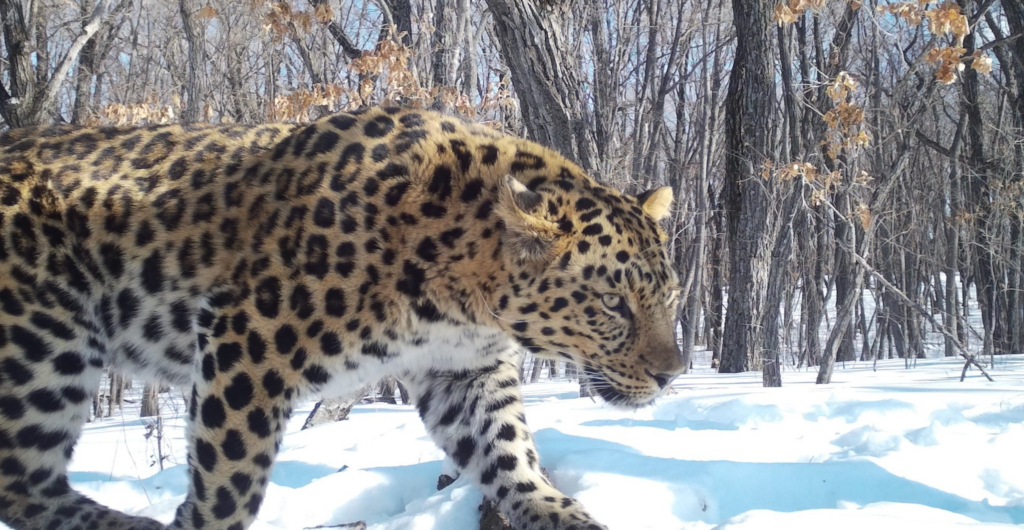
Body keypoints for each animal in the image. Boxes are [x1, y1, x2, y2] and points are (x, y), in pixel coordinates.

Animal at [0, 106, 684, 530]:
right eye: (613, 303)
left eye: (671, 299)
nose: (672, 375)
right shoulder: (246, 340)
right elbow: (230, 481)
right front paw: (198, 520)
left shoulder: (463, 371)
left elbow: (509, 449)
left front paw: (559, 512)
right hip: (46, 343)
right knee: (21, 481)